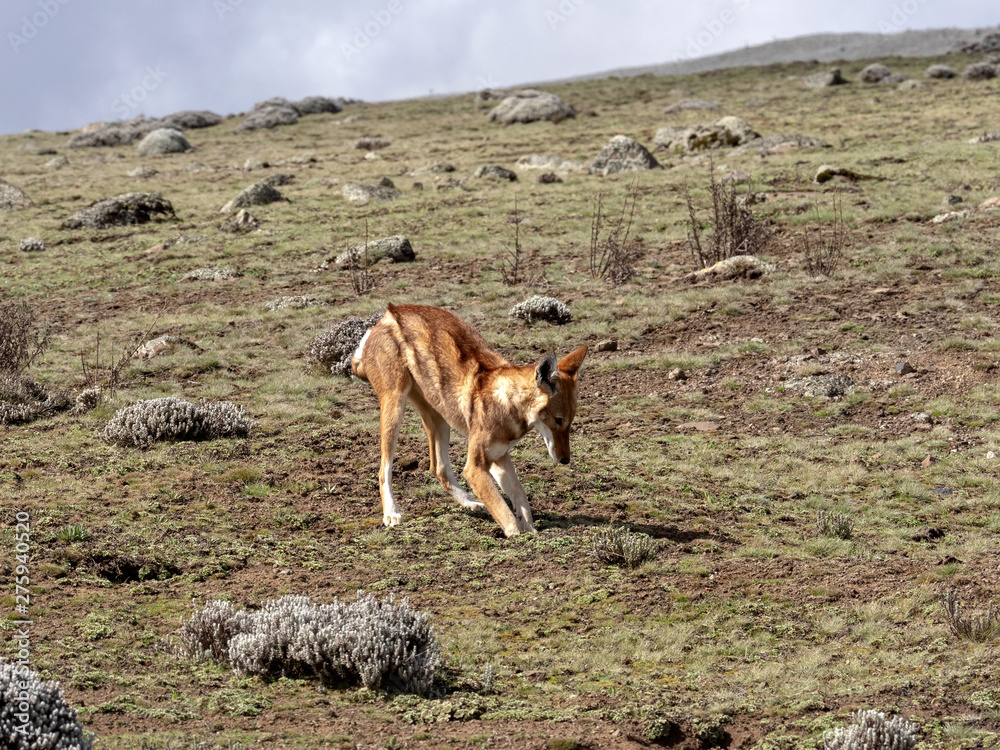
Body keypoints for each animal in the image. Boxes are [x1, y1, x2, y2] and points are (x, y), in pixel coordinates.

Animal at [351, 303, 587, 537]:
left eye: (570, 423)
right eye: (558, 421)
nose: (565, 460)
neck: (507, 402)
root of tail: (387, 314)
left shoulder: (498, 459)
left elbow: (520, 497)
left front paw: (530, 531)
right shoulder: (474, 467)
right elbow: (503, 510)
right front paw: (518, 538)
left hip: (440, 419)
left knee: (439, 469)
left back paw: (470, 503)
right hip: (395, 411)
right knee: (384, 471)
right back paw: (391, 514)